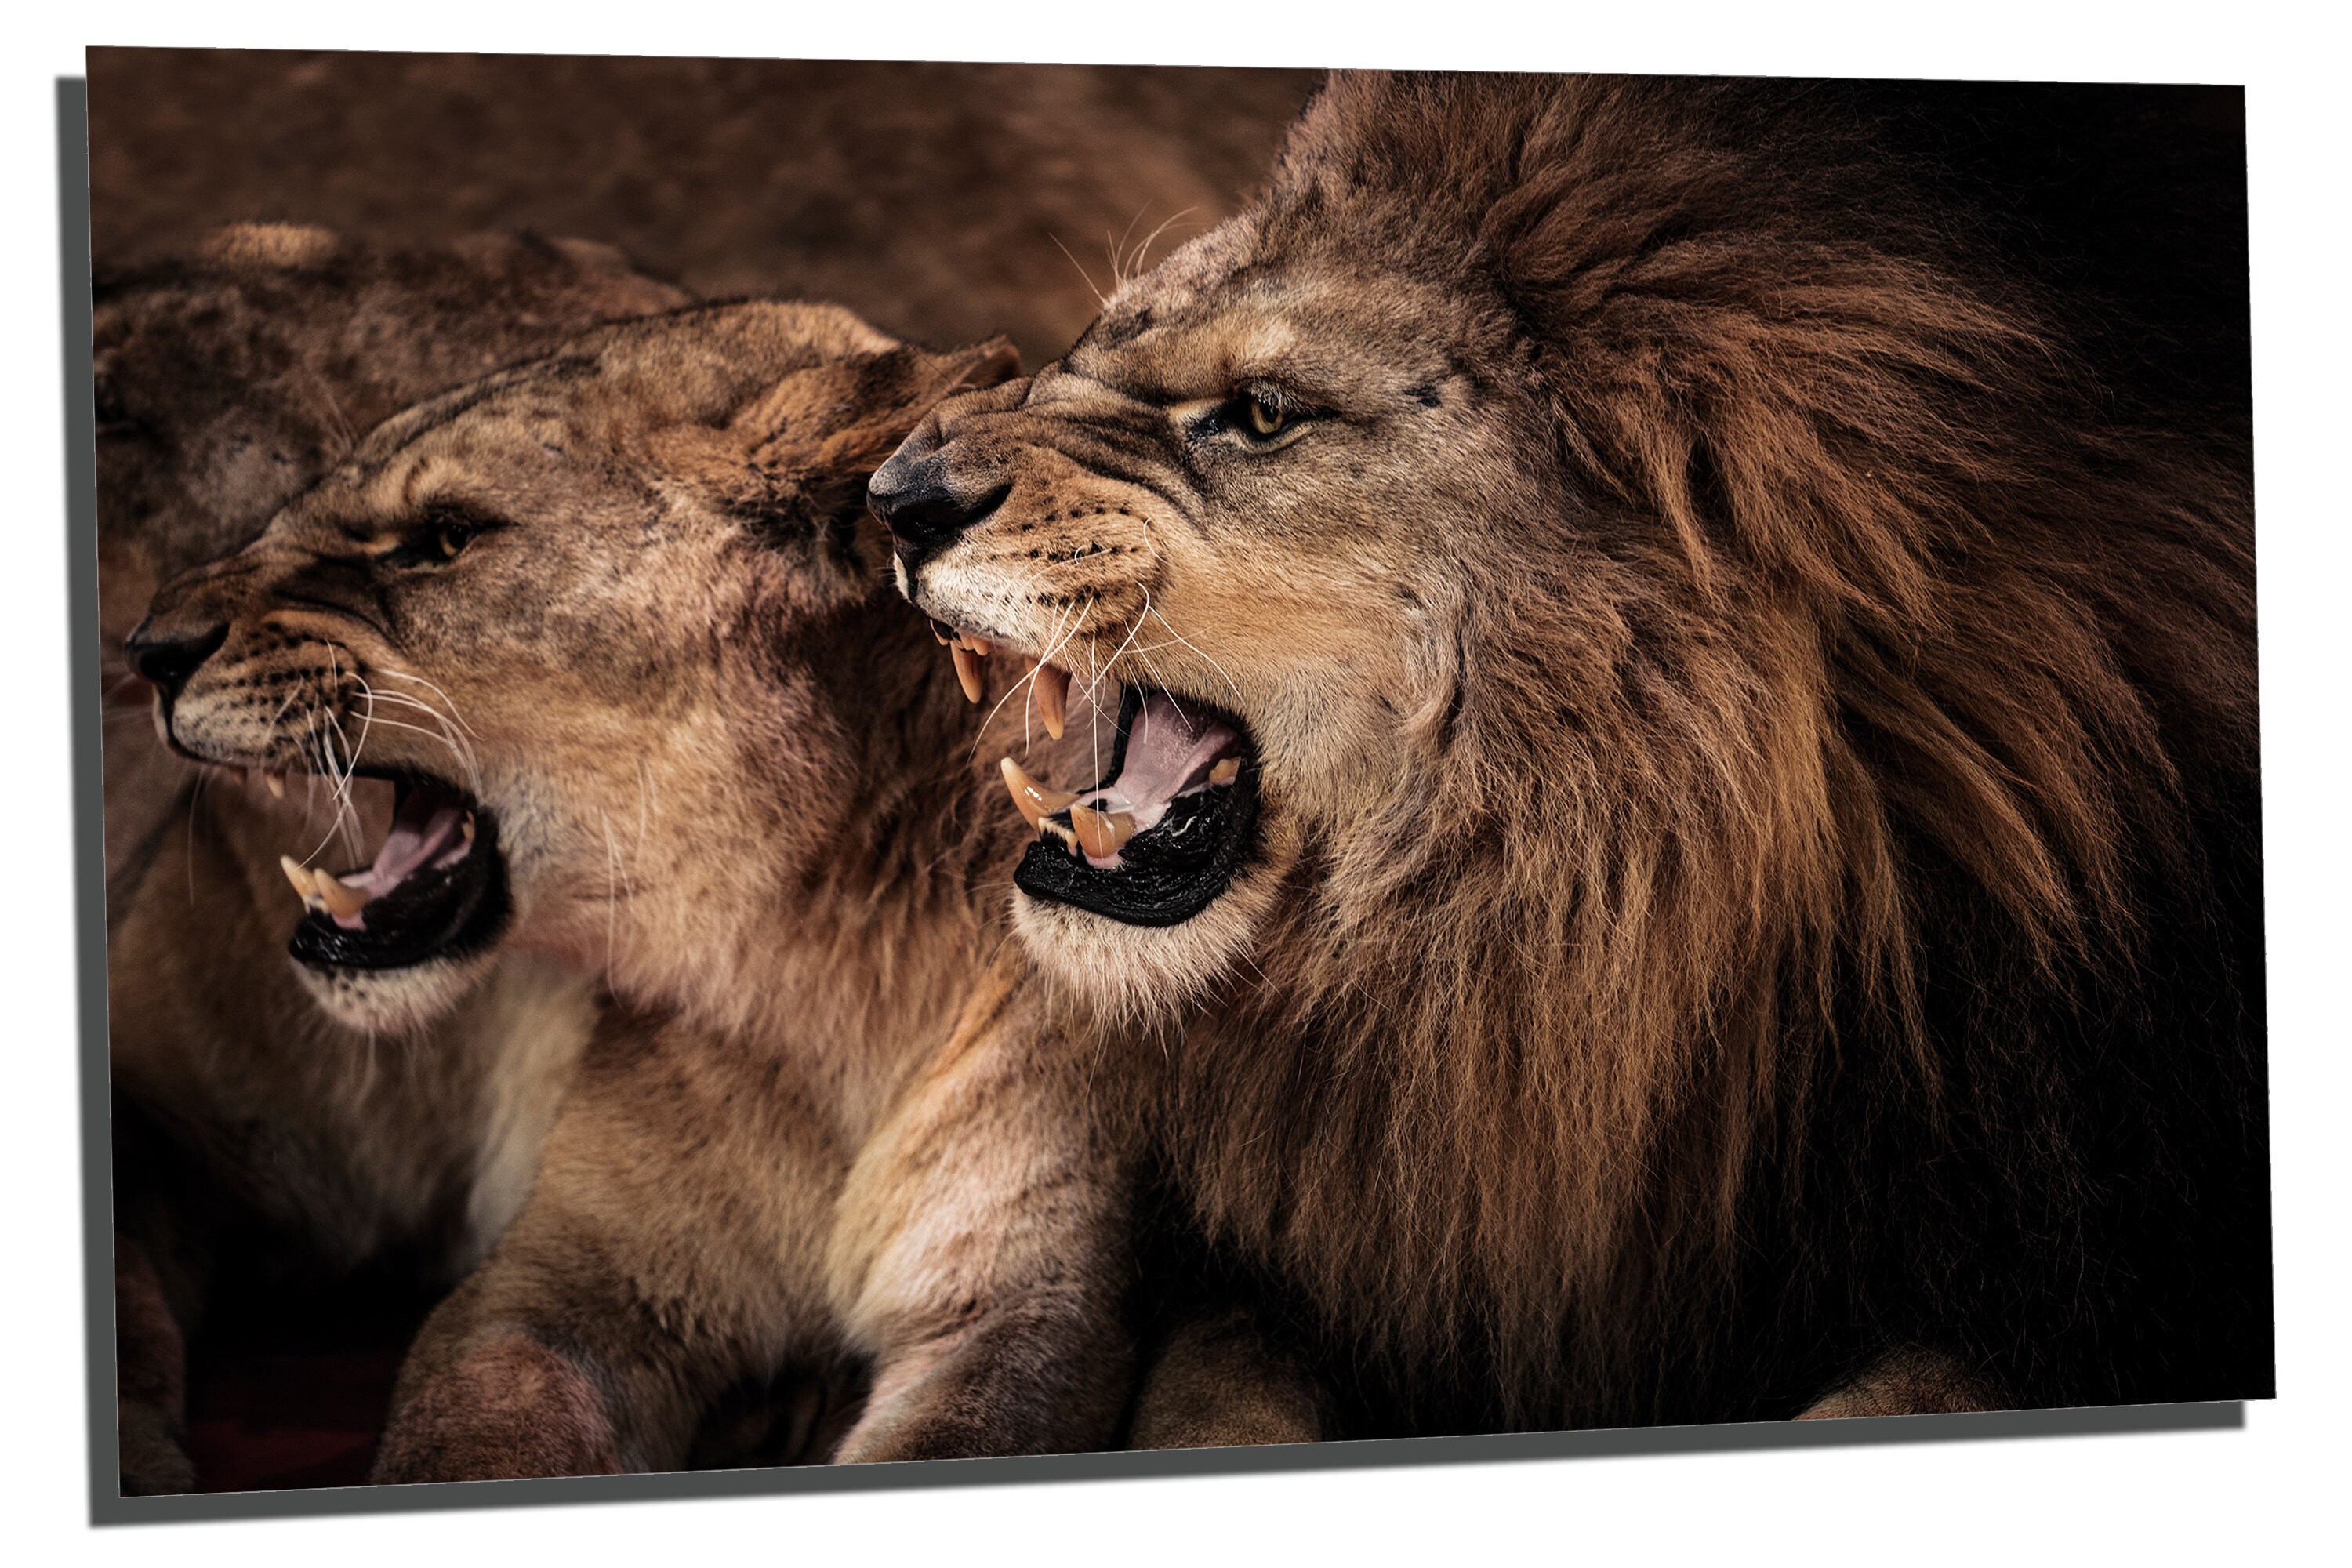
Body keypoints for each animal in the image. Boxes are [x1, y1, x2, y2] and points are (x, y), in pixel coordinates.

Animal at [129, 299, 1316, 1480]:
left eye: (445, 539)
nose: (147, 648)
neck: (823, 948)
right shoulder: (563, 1275)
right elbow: (479, 1431)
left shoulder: (1024, 1308)